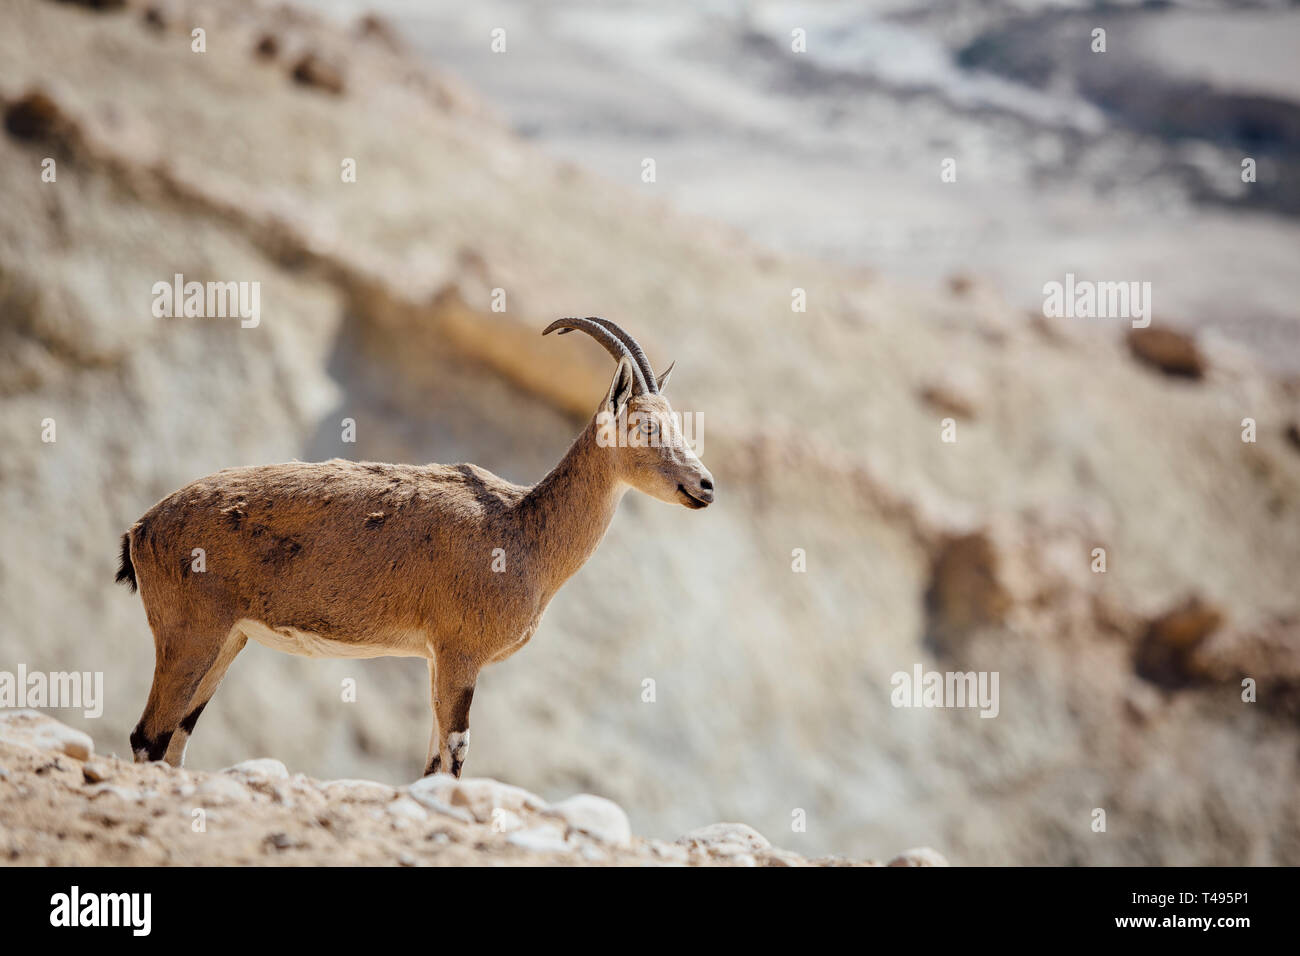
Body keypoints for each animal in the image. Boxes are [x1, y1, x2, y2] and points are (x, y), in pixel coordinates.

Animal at [116, 318, 713, 777]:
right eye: (647, 427)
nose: (705, 486)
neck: (523, 532)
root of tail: (142, 528)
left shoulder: (435, 658)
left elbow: (430, 763)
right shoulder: (460, 653)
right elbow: (453, 755)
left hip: (229, 640)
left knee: (175, 738)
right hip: (190, 632)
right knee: (148, 736)